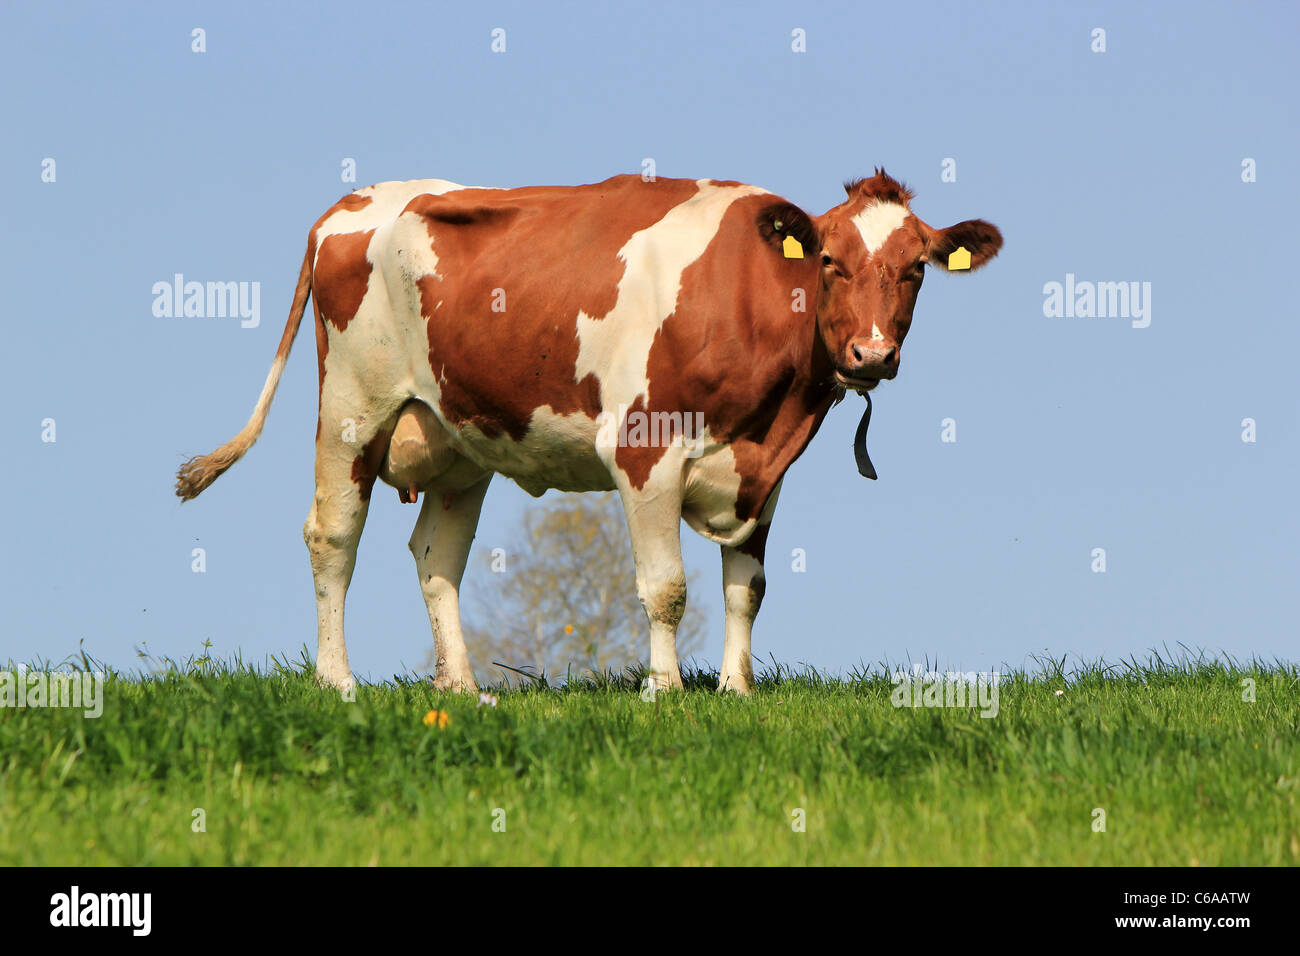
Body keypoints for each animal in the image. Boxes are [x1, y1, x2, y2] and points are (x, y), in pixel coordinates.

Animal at [175, 170, 1001, 695]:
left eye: (915, 270)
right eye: (830, 261)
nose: (872, 355)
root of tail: (357, 200)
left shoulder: (763, 471)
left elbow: (748, 587)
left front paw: (736, 691)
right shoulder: (645, 450)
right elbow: (666, 588)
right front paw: (665, 690)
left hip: (458, 438)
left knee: (436, 557)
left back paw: (463, 687)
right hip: (353, 410)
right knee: (332, 536)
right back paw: (337, 680)